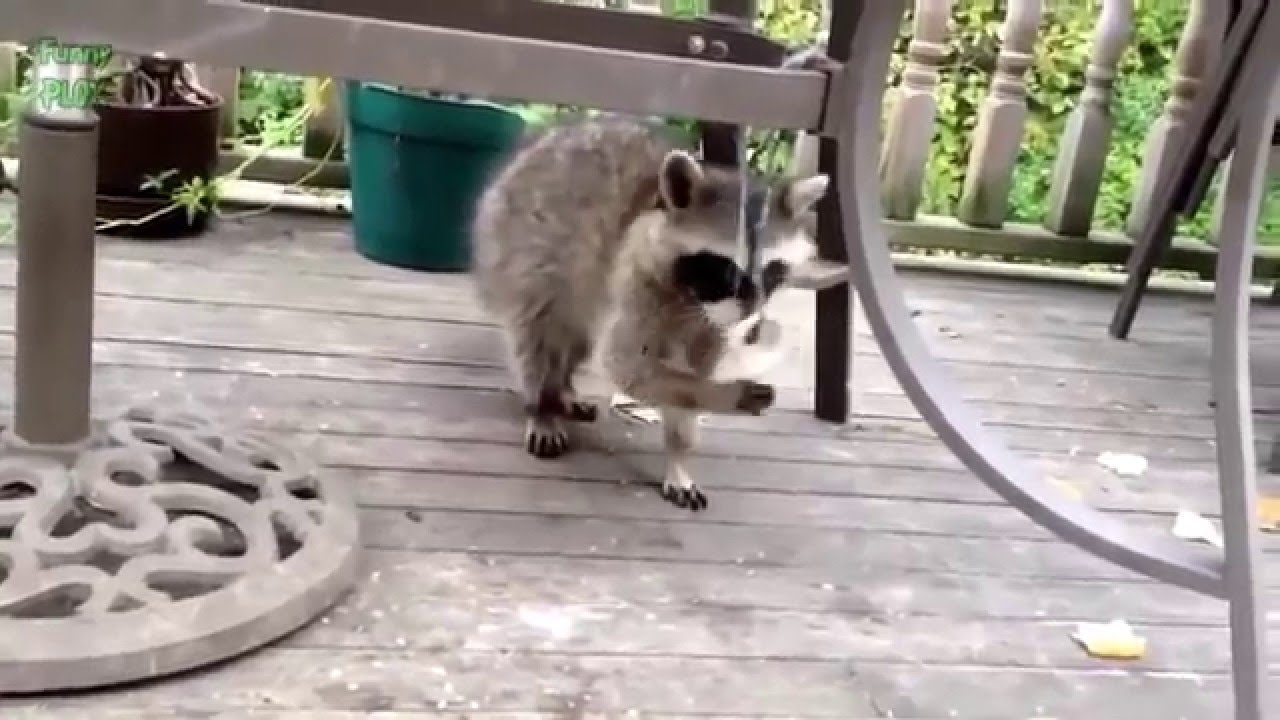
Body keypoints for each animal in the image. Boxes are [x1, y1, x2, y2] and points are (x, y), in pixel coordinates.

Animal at [470, 116, 828, 506]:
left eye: (772, 270)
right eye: (722, 268)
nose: (753, 315)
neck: (691, 298)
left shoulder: (710, 322)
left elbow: (693, 373)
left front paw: (680, 455)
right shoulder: (636, 277)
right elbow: (628, 365)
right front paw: (722, 394)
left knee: (577, 339)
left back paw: (563, 388)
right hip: (527, 248)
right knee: (538, 335)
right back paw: (542, 404)